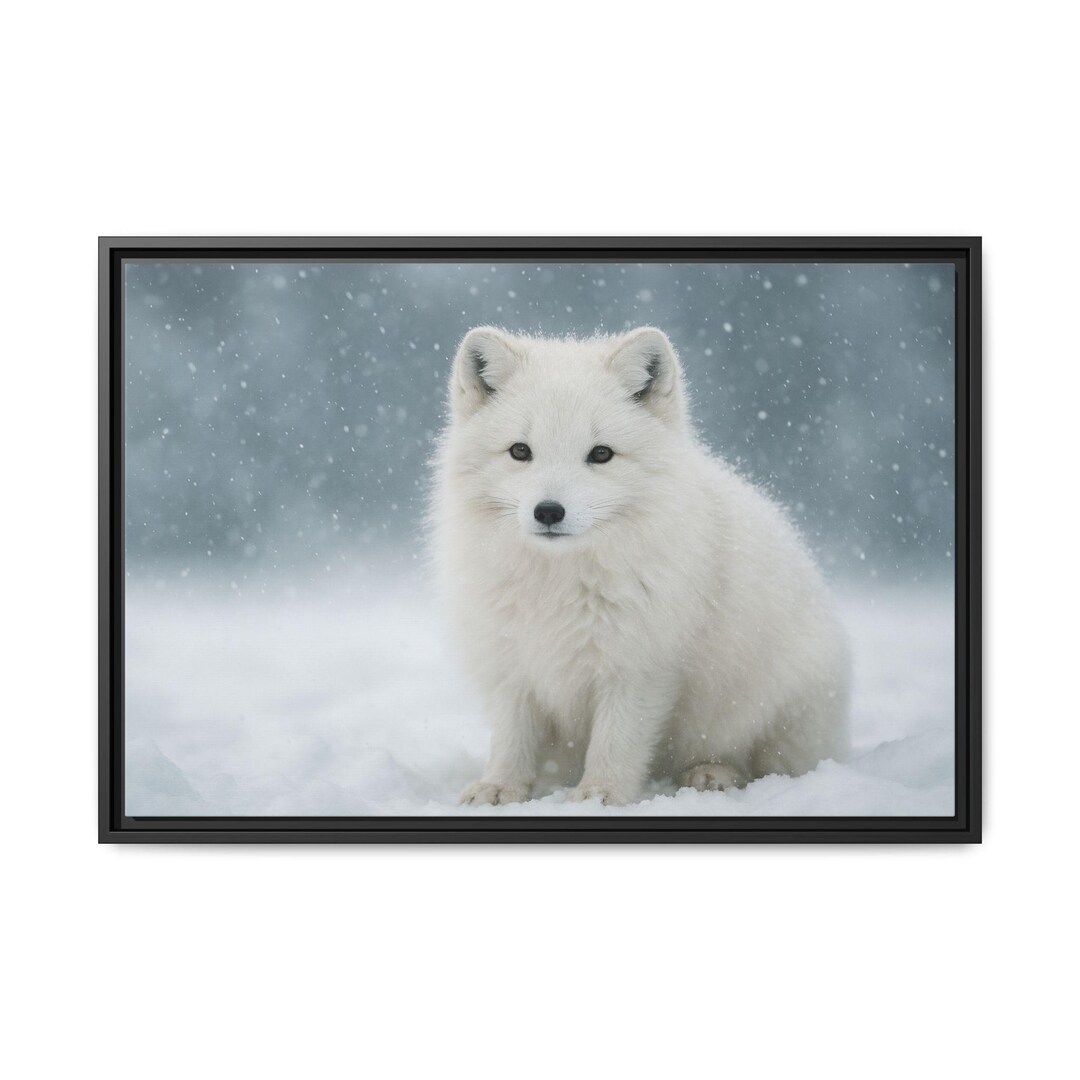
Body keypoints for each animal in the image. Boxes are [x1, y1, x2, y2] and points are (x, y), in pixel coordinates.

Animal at [433, 326, 850, 807]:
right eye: (520, 451)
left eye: (600, 454)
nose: (549, 511)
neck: (557, 585)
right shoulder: (510, 663)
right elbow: (512, 738)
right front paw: (501, 787)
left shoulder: (638, 665)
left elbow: (616, 742)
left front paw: (599, 794)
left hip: (775, 710)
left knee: (760, 765)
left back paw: (712, 774)